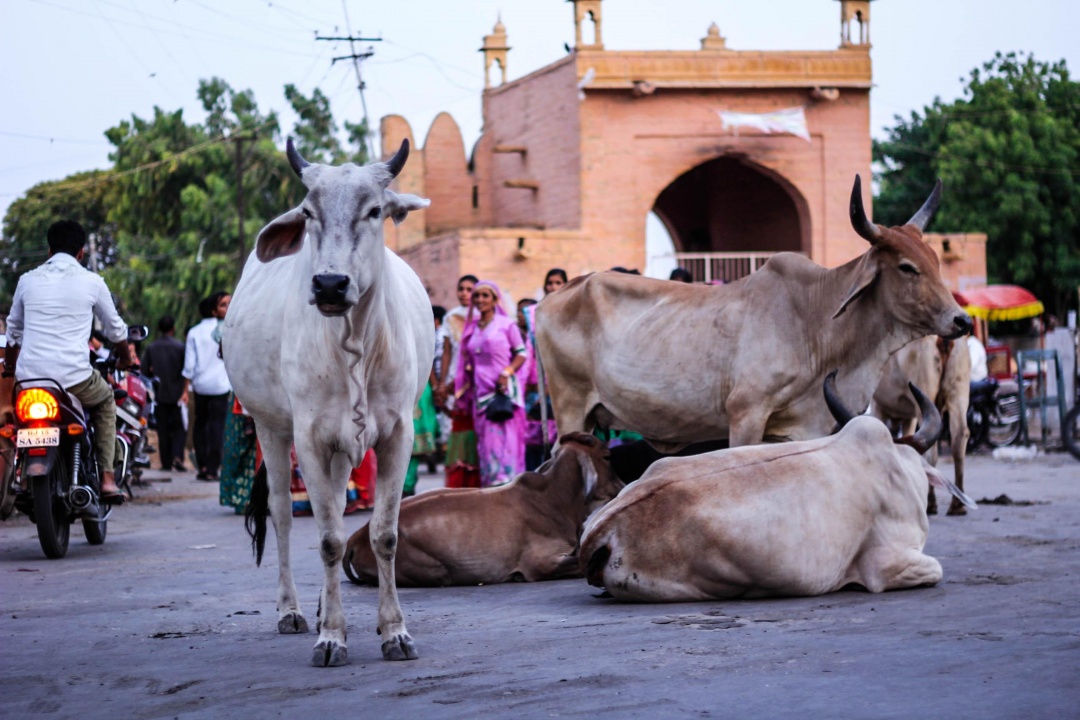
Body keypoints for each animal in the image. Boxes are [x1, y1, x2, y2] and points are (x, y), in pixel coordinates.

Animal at [223, 138, 433, 667]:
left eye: (375, 210)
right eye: (308, 212)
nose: (330, 285)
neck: (354, 344)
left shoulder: (397, 435)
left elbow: (383, 534)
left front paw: (394, 631)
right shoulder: (311, 438)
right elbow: (328, 538)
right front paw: (332, 638)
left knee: (337, 504)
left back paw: (320, 608)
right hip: (270, 427)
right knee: (282, 512)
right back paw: (294, 611)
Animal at [342, 432, 622, 587]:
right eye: (607, 456)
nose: (622, 486)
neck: (554, 498)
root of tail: (357, 536)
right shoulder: (542, 563)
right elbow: (582, 566)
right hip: (437, 571)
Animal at [535, 176, 973, 451]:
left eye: (936, 260)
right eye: (906, 267)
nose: (963, 320)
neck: (815, 323)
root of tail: (555, 297)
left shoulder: (807, 427)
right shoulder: (745, 415)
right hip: (570, 410)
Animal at [872, 336, 972, 516]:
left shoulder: (878, 406)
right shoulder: (909, 416)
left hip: (924, 387)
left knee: (931, 453)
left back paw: (930, 502)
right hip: (959, 390)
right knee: (959, 437)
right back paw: (957, 504)